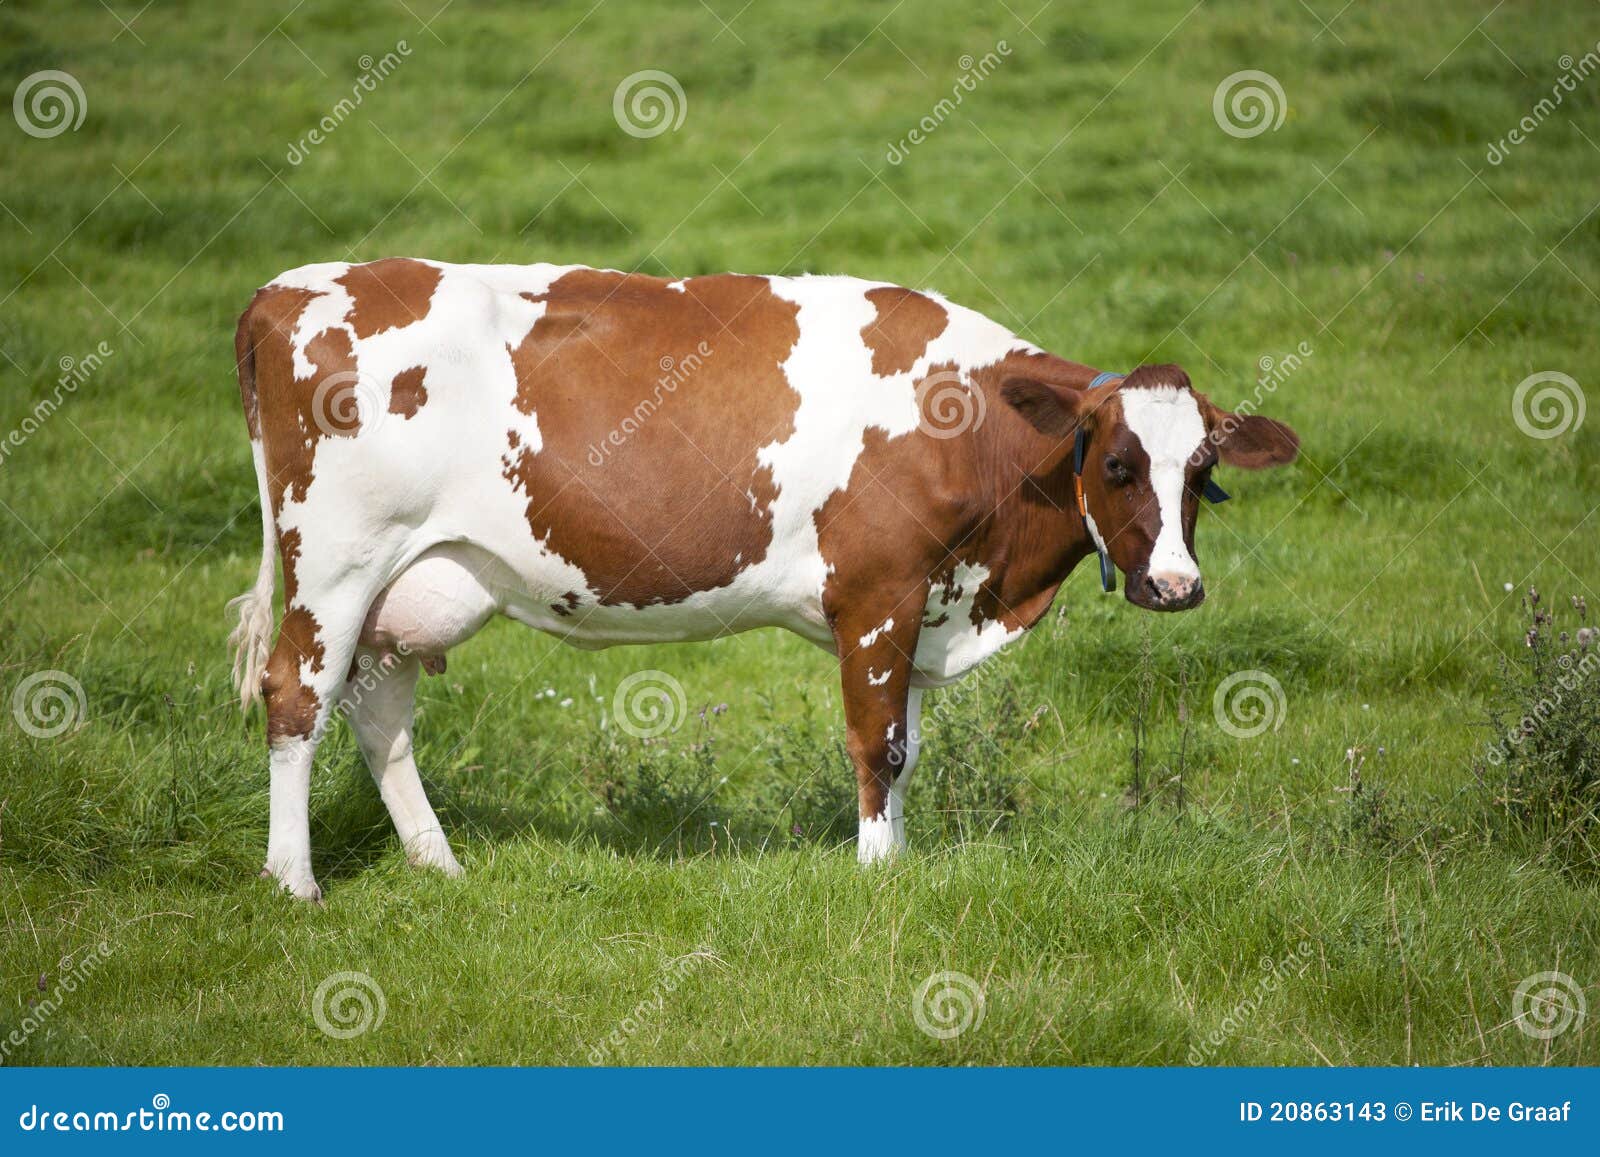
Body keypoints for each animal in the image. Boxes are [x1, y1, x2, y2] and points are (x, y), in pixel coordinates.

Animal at [229, 259, 1298, 899]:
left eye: (1202, 470)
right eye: (1116, 464)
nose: (1176, 586)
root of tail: (288, 287)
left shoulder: (922, 604)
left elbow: (908, 743)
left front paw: (898, 861)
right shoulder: (877, 592)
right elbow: (879, 746)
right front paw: (876, 876)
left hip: (406, 583)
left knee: (378, 714)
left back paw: (438, 862)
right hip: (336, 562)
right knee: (295, 697)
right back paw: (294, 881)